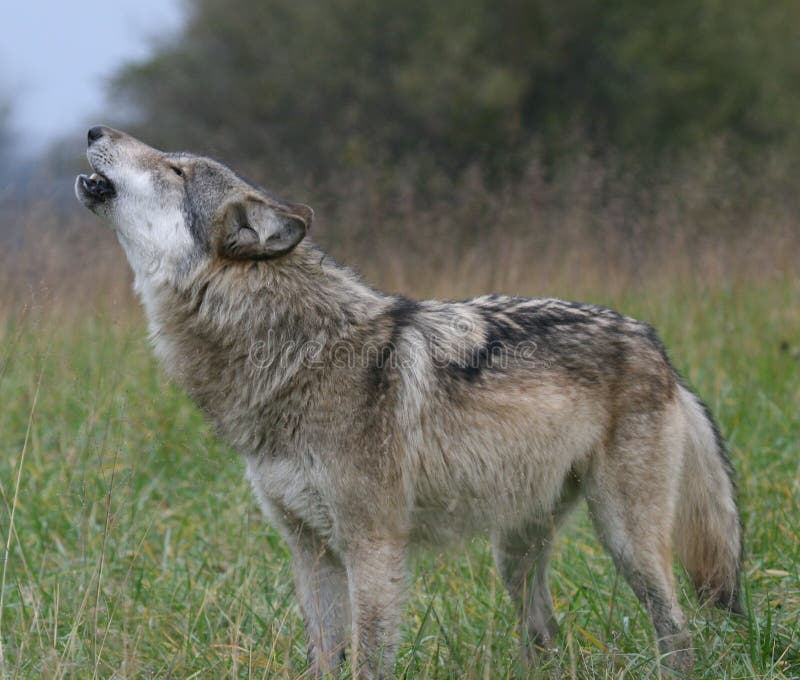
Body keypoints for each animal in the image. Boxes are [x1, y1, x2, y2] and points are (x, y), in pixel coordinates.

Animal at [76, 126, 743, 678]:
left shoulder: (372, 546)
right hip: (515, 552)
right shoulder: (310, 551)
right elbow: (324, 658)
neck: (294, 350)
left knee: (676, 630)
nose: (94, 130)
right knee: (546, 635)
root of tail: (656, 345)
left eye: (175, 169)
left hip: (626, 539)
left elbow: (369, 658)